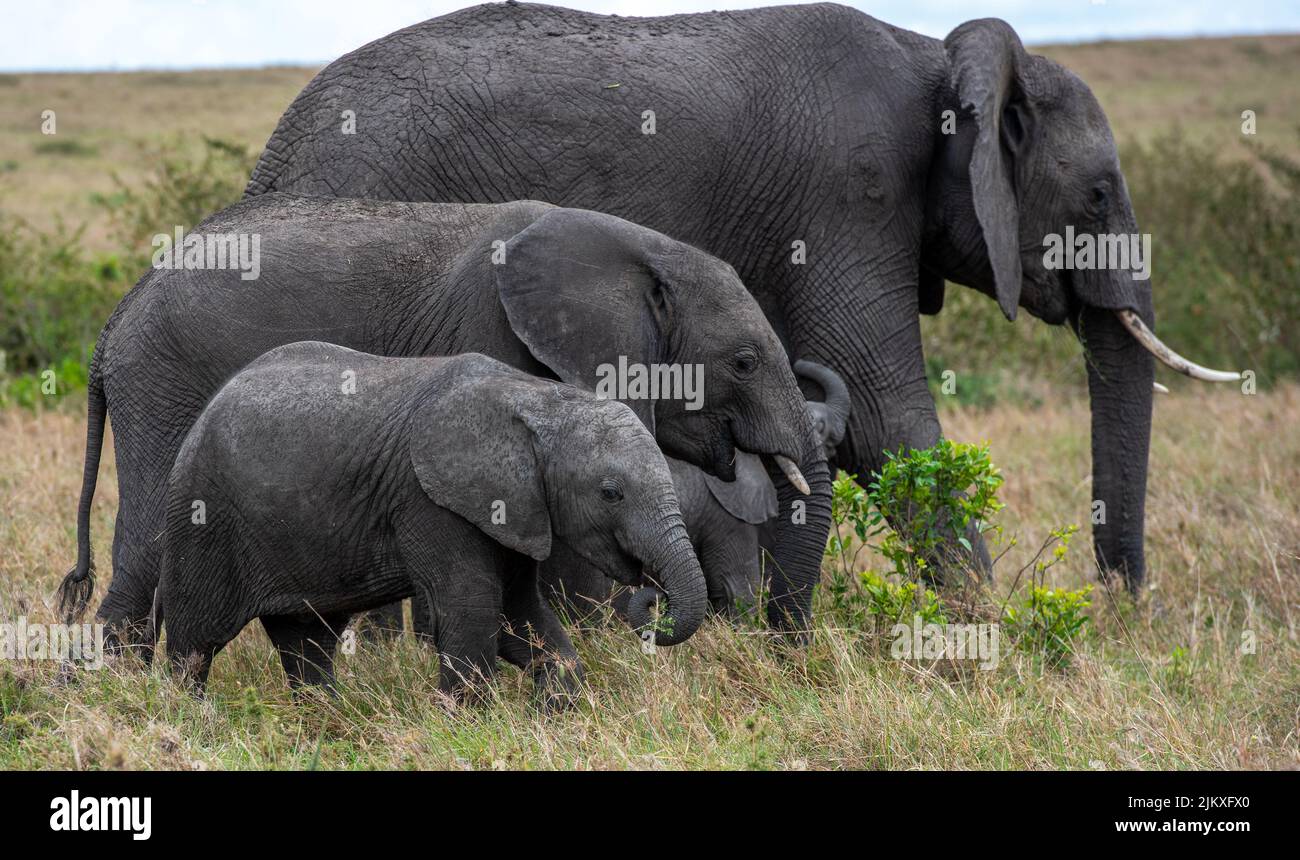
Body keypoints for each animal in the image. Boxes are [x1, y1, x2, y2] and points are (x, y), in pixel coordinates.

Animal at [157, 343, 705, 704]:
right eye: (611, 493)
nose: (650, 596)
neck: (540, 400)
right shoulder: (431, 501)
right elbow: (472, 611)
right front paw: (471, 724)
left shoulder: (511, 508)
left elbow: (520, 614)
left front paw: (563, 711)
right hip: (204, 518)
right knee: (196, 640)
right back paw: (192, 717)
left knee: (307, 638)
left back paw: (327, 717)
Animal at [246, 2, 1241, 592]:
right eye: (1100, 196)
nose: (1116, 603)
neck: (939, 57)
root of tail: (275, 154)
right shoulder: (847, 197)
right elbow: (884, 420)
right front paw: (982, 638)